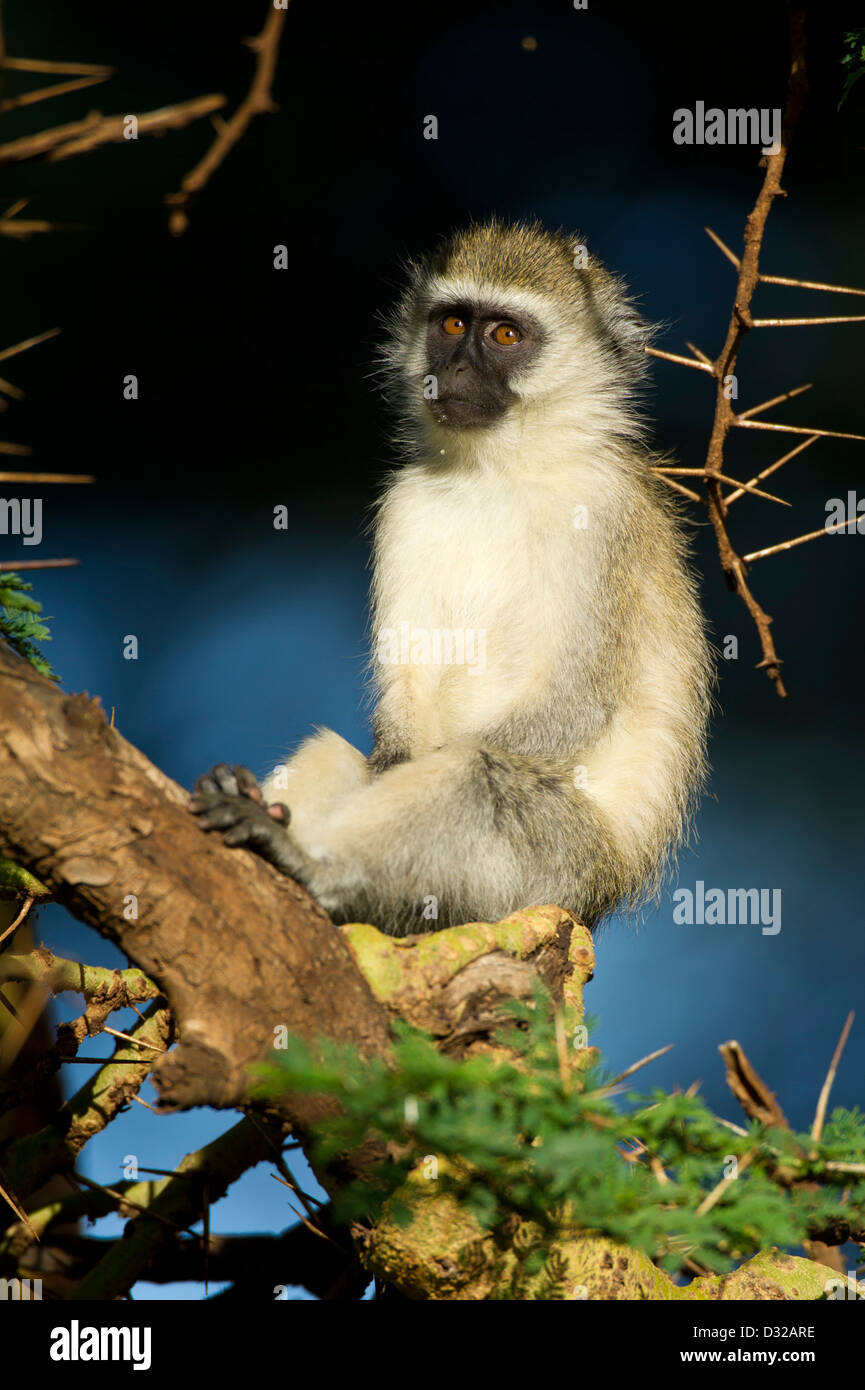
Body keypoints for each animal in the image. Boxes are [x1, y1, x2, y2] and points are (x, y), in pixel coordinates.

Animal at [189, 219, 713, 937]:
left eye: (505, 336)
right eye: (452, 322)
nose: (453, 369)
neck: (499, 473)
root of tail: (595, 902)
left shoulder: (602, 511)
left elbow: (573, 700)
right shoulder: (404, 504)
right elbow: (402, 697)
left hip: (553, 865)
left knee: (475, 777)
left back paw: (310, 865)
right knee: (339, 754)